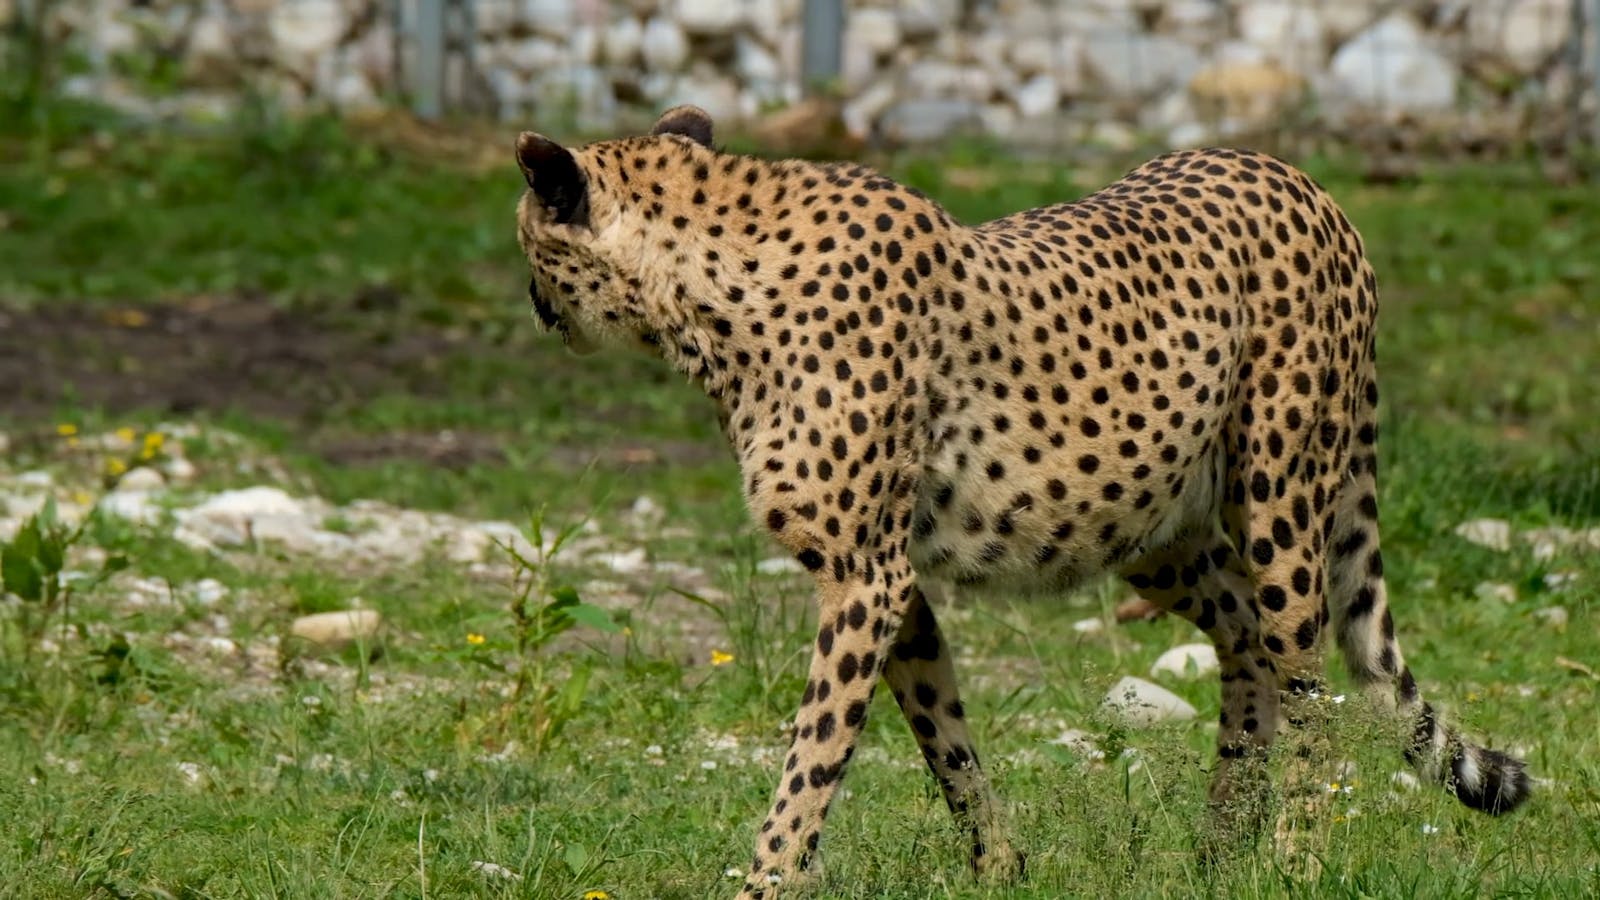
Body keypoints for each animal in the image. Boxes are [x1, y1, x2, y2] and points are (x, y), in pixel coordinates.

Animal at [512, 104, 1531, 898]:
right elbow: (943, 735)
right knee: (1245, 639)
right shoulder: (895, 584)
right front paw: (999, 866)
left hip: (1281, 501)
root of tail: (1294, 175)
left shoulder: (865, 577)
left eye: (529, 238)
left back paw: (1292, 860)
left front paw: (765, 880)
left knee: (1308, 681)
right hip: (1151, 524)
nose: (532, 305)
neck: (706, 290)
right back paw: (1220, 848)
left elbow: (813, 757)